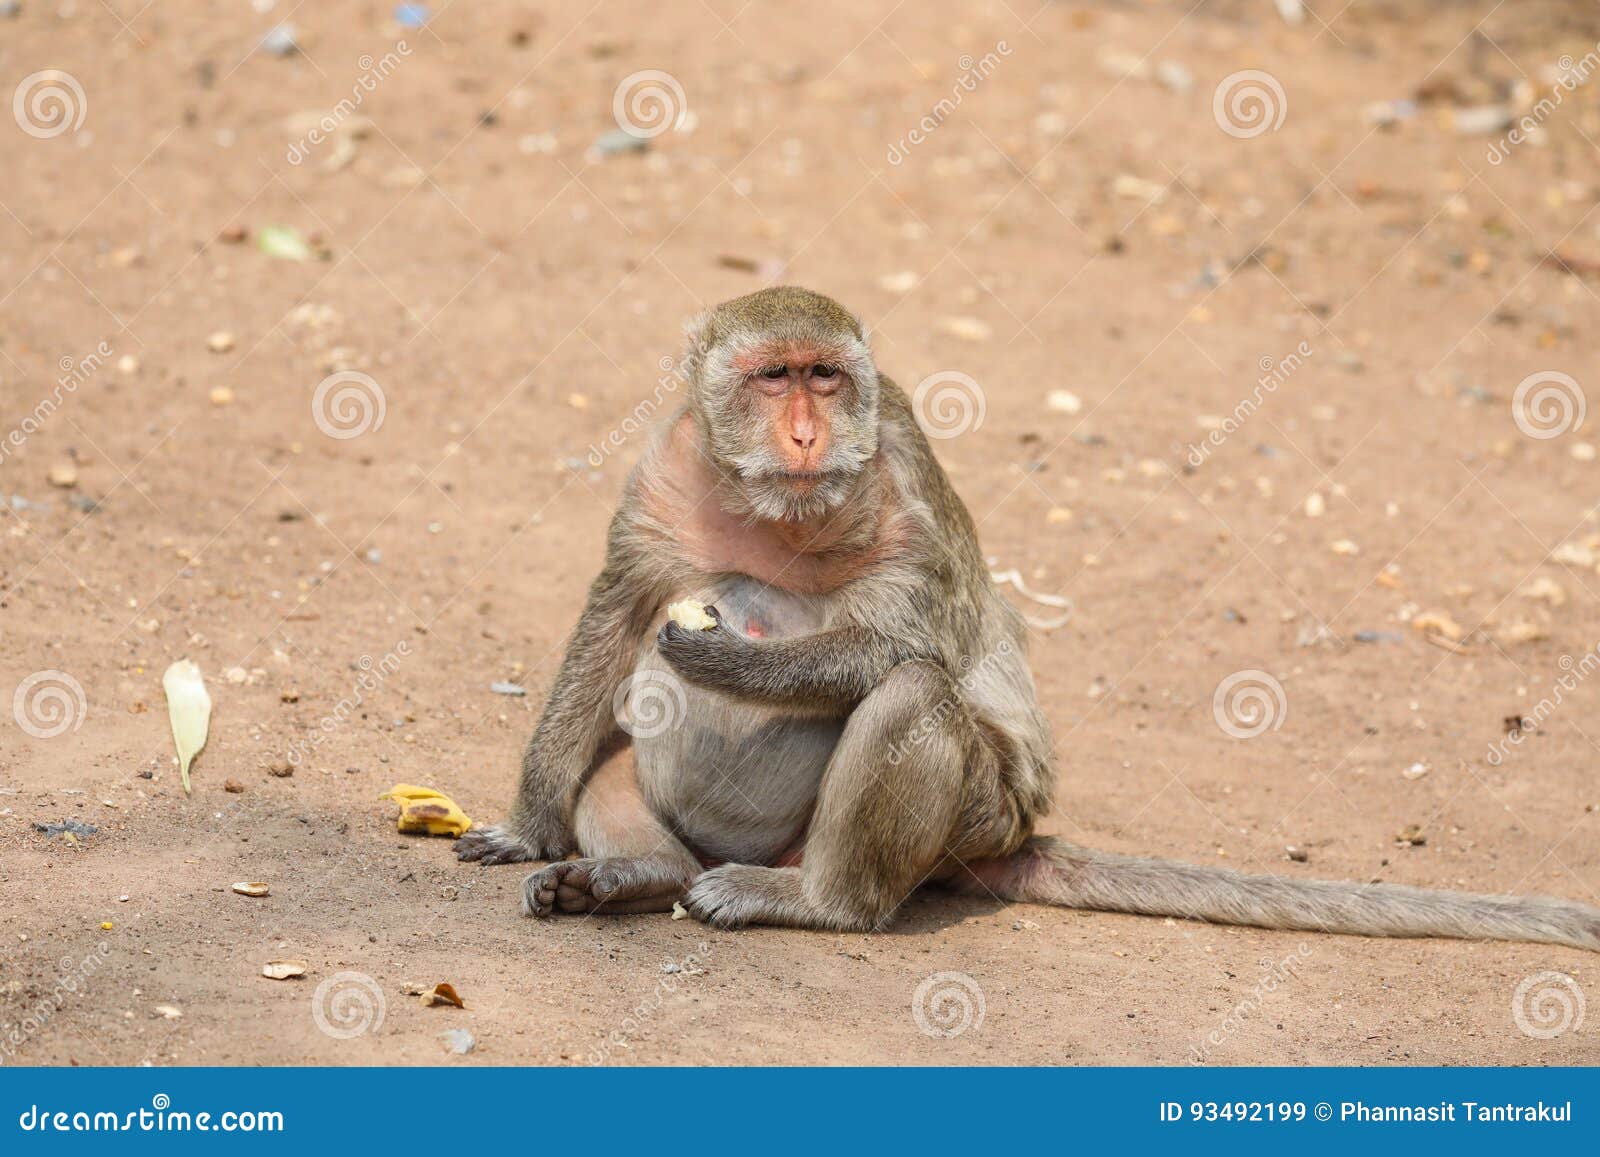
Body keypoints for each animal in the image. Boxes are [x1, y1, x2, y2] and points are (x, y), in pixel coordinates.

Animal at [457, 285, 1600, 952]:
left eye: (825, 377)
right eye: (771, 376)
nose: (803, 432)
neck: (770, 510)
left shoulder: (902, 486)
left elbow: (900, 645)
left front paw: (727, 661)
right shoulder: (661, 478)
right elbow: (613, 618)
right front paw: (528, 824)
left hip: (978, 810)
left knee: (913, 697)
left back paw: (821, 902)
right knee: (616, 771)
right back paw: (636, 873)